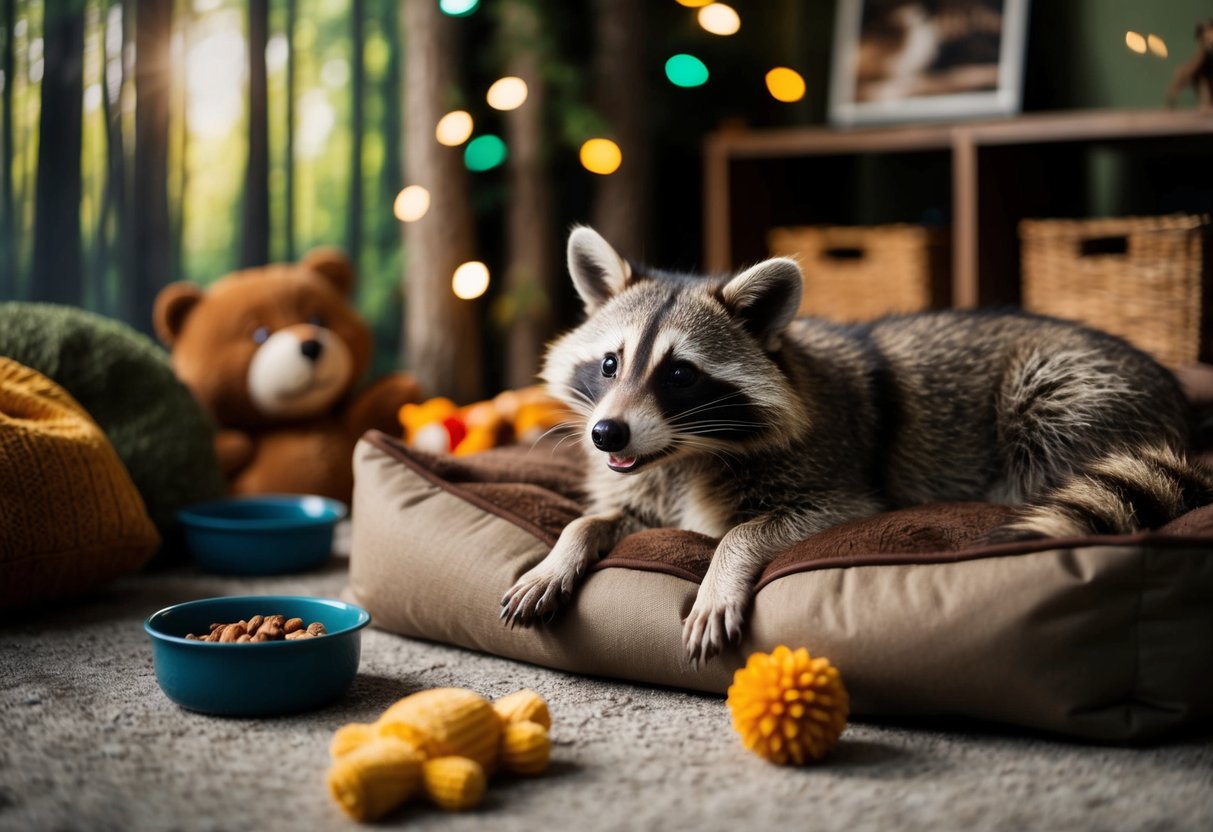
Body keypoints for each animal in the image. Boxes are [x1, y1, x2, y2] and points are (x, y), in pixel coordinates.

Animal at [500, 226, 1213, 666]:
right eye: (610, 364)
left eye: (680, 375)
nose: (607, 433)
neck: (682, 448)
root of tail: (1181, 404)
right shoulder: (644, 477)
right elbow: (605, 515)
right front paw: (565, 547)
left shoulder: (843, 482)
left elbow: (755, 526)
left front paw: (724, 566)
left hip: (1066, 381)